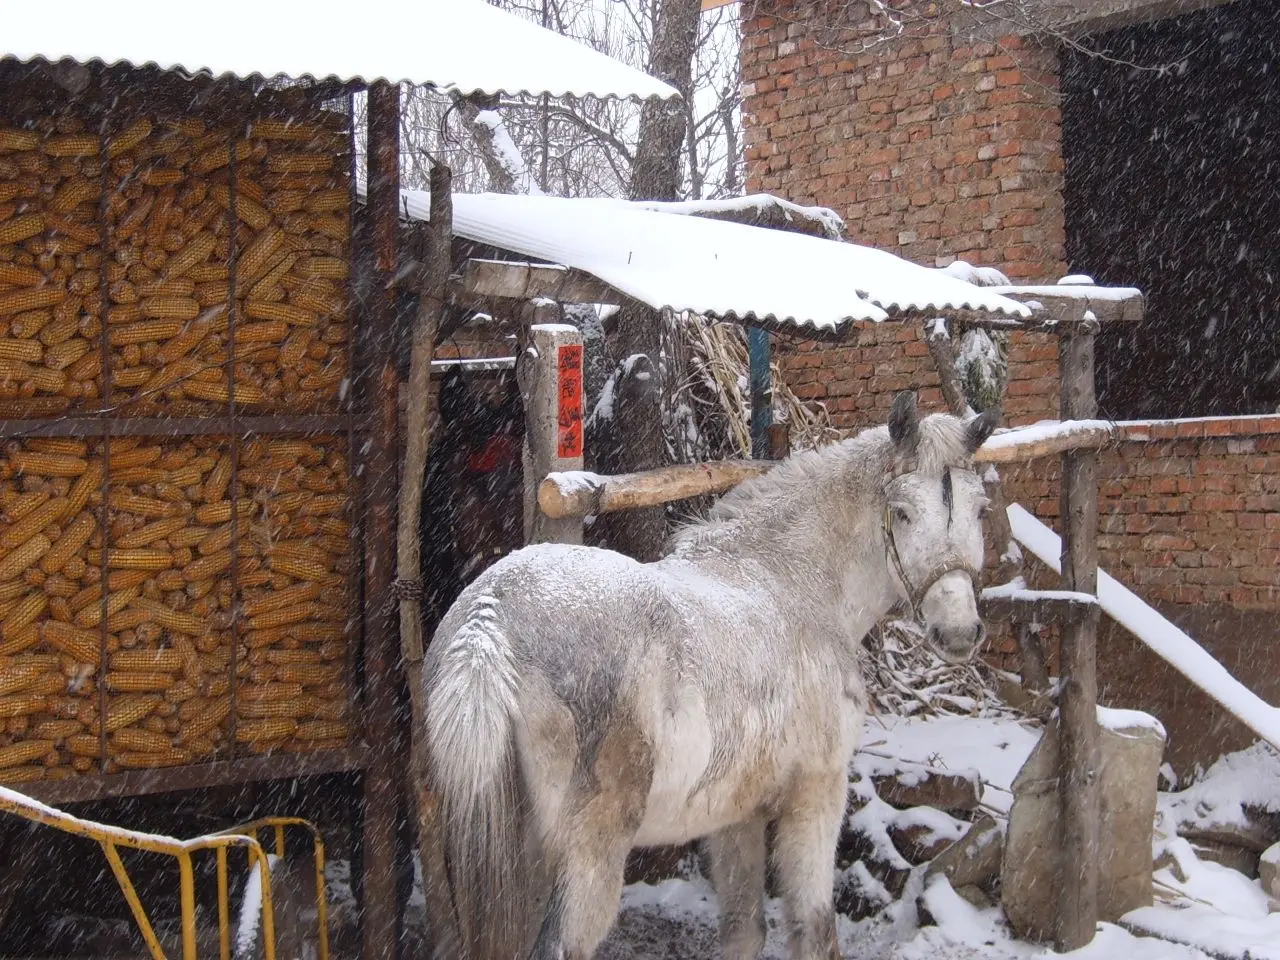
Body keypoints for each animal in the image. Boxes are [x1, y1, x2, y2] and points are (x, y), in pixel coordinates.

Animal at [422, 391, 998, 960]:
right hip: (584, 859)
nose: (959, 632)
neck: (790, 582)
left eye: (979, 508)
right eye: (901, 512)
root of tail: (489, 619)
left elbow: (743, 930)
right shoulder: (817, 791)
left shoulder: (736, 814)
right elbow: (815, 930)